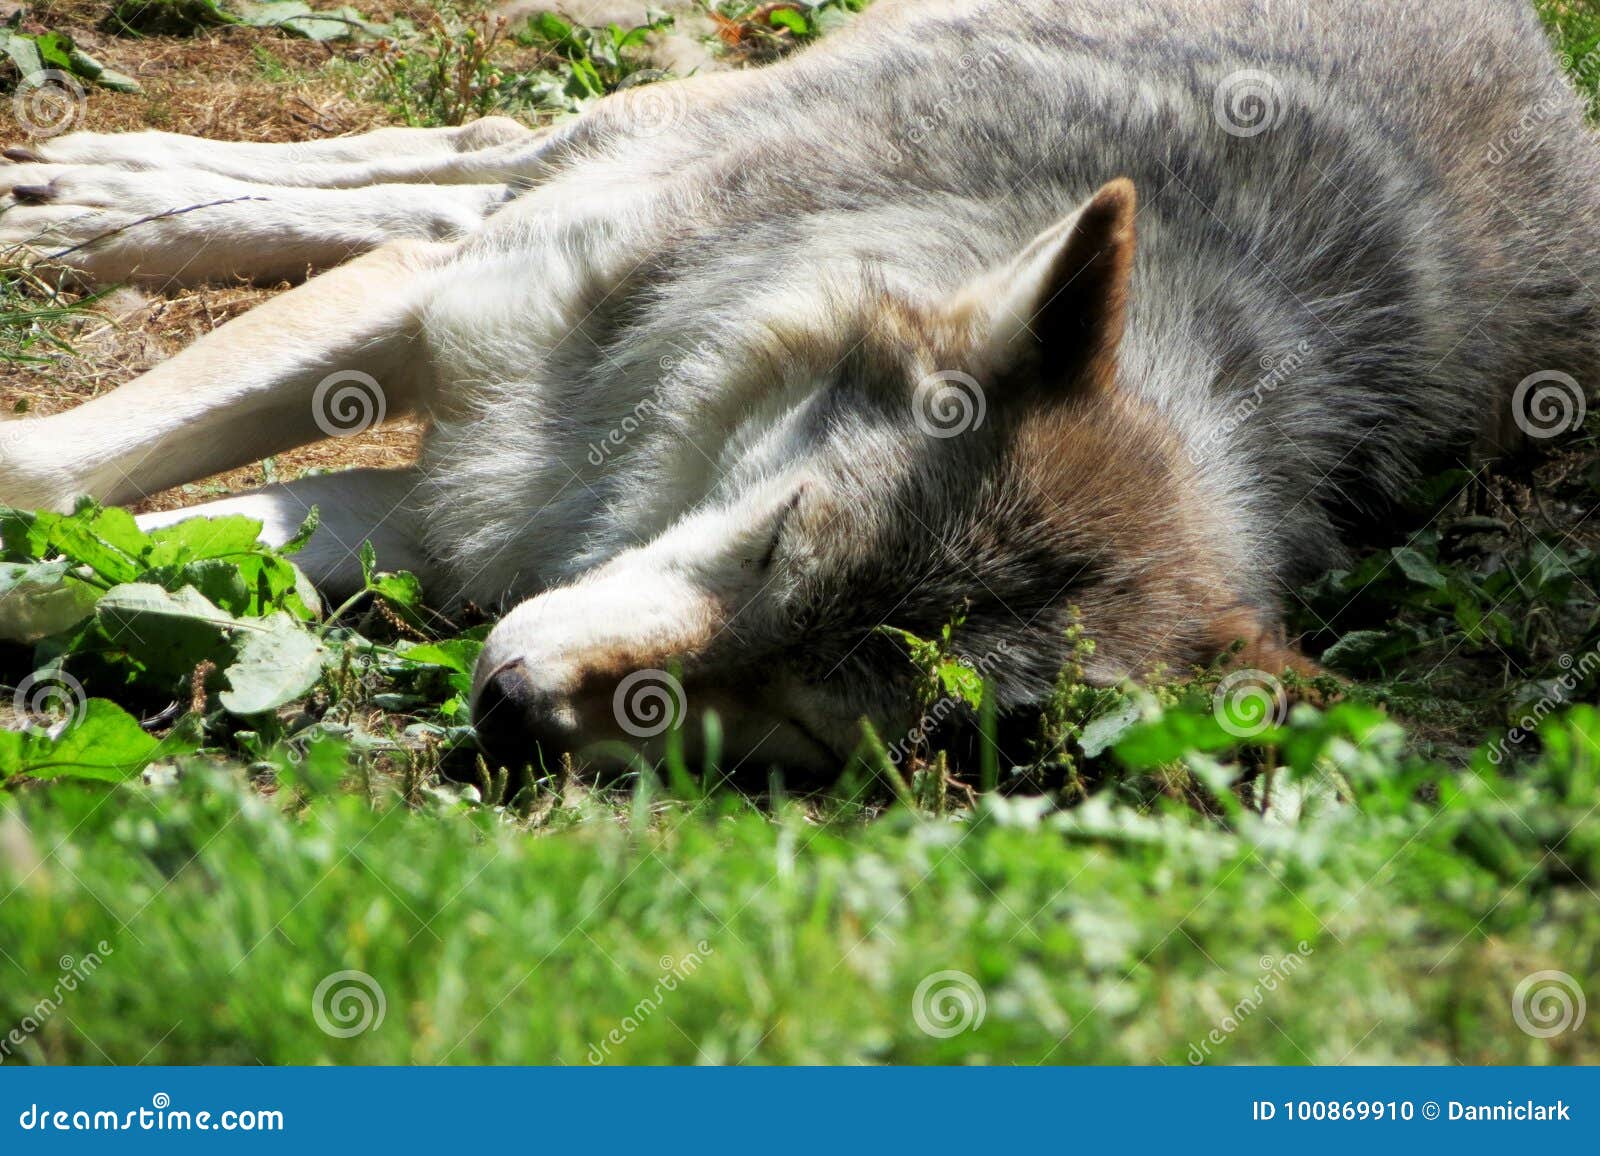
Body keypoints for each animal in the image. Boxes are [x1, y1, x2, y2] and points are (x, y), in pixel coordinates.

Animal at [1, 0, 1596, 770]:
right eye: (778, 545)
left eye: (808, 727)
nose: (509, 706)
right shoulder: (466, 319)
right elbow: (53, 467)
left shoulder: (461, 526)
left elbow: (141, 550)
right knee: (475, 153)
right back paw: (84, 202)